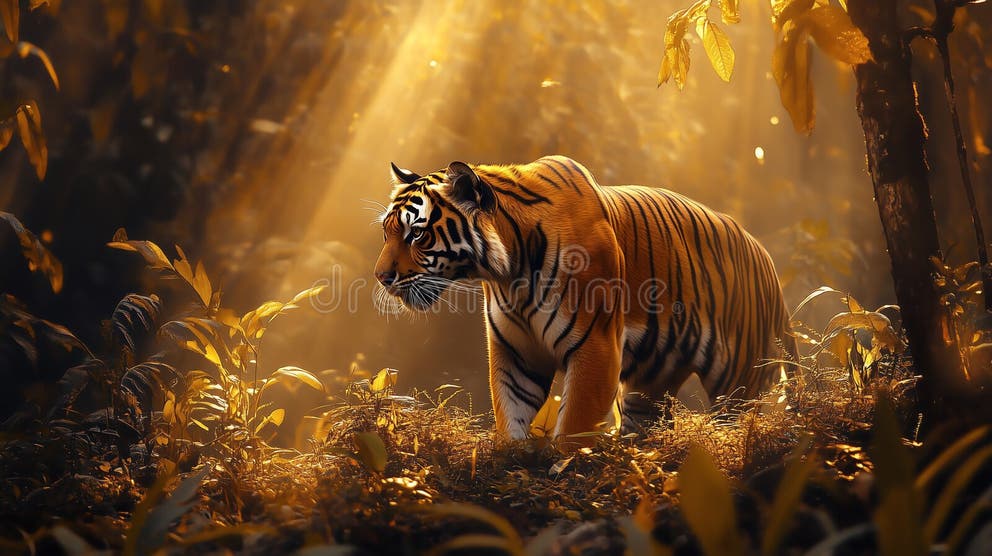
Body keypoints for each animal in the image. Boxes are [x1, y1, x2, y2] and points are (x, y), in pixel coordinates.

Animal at [374, 156, 797, 448]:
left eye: (416, 234)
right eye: (387, 232)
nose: (381, 277)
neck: (510, 273)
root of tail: (769, 264)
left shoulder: (596, 346)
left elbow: (574, 426)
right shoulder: (516, 352)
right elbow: (511, 412)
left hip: (739, 380)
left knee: (739, 423)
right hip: (651, 383)